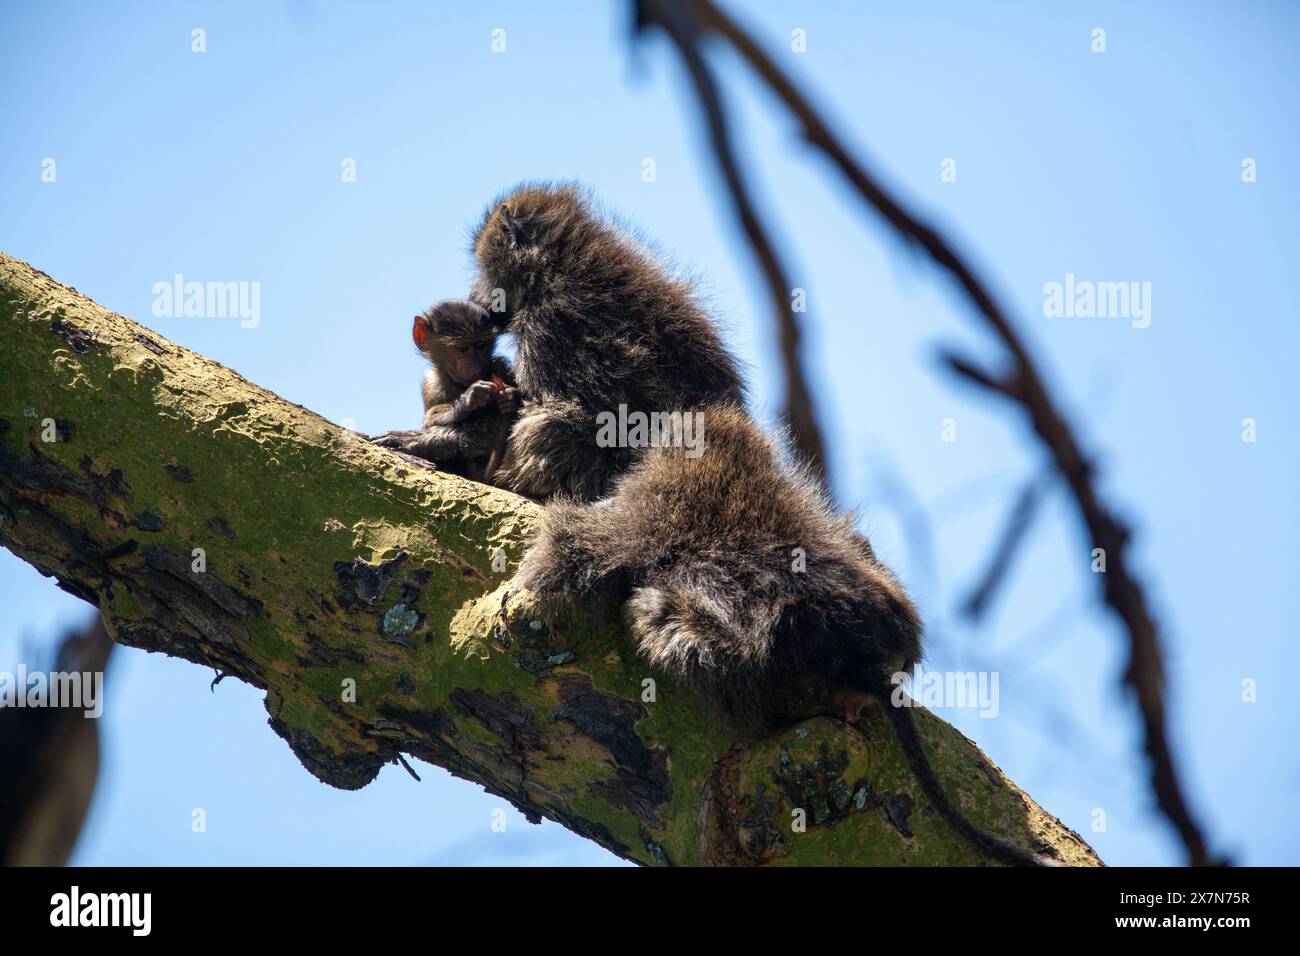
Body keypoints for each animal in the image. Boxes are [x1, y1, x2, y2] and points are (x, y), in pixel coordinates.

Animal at [369, 299, 520, 482]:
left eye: (480, 346)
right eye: (462, 349)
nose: (477, 367)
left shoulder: (500, 367)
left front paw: (510, 398)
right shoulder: (430, 382)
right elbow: (430, 420)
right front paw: (468, 399)